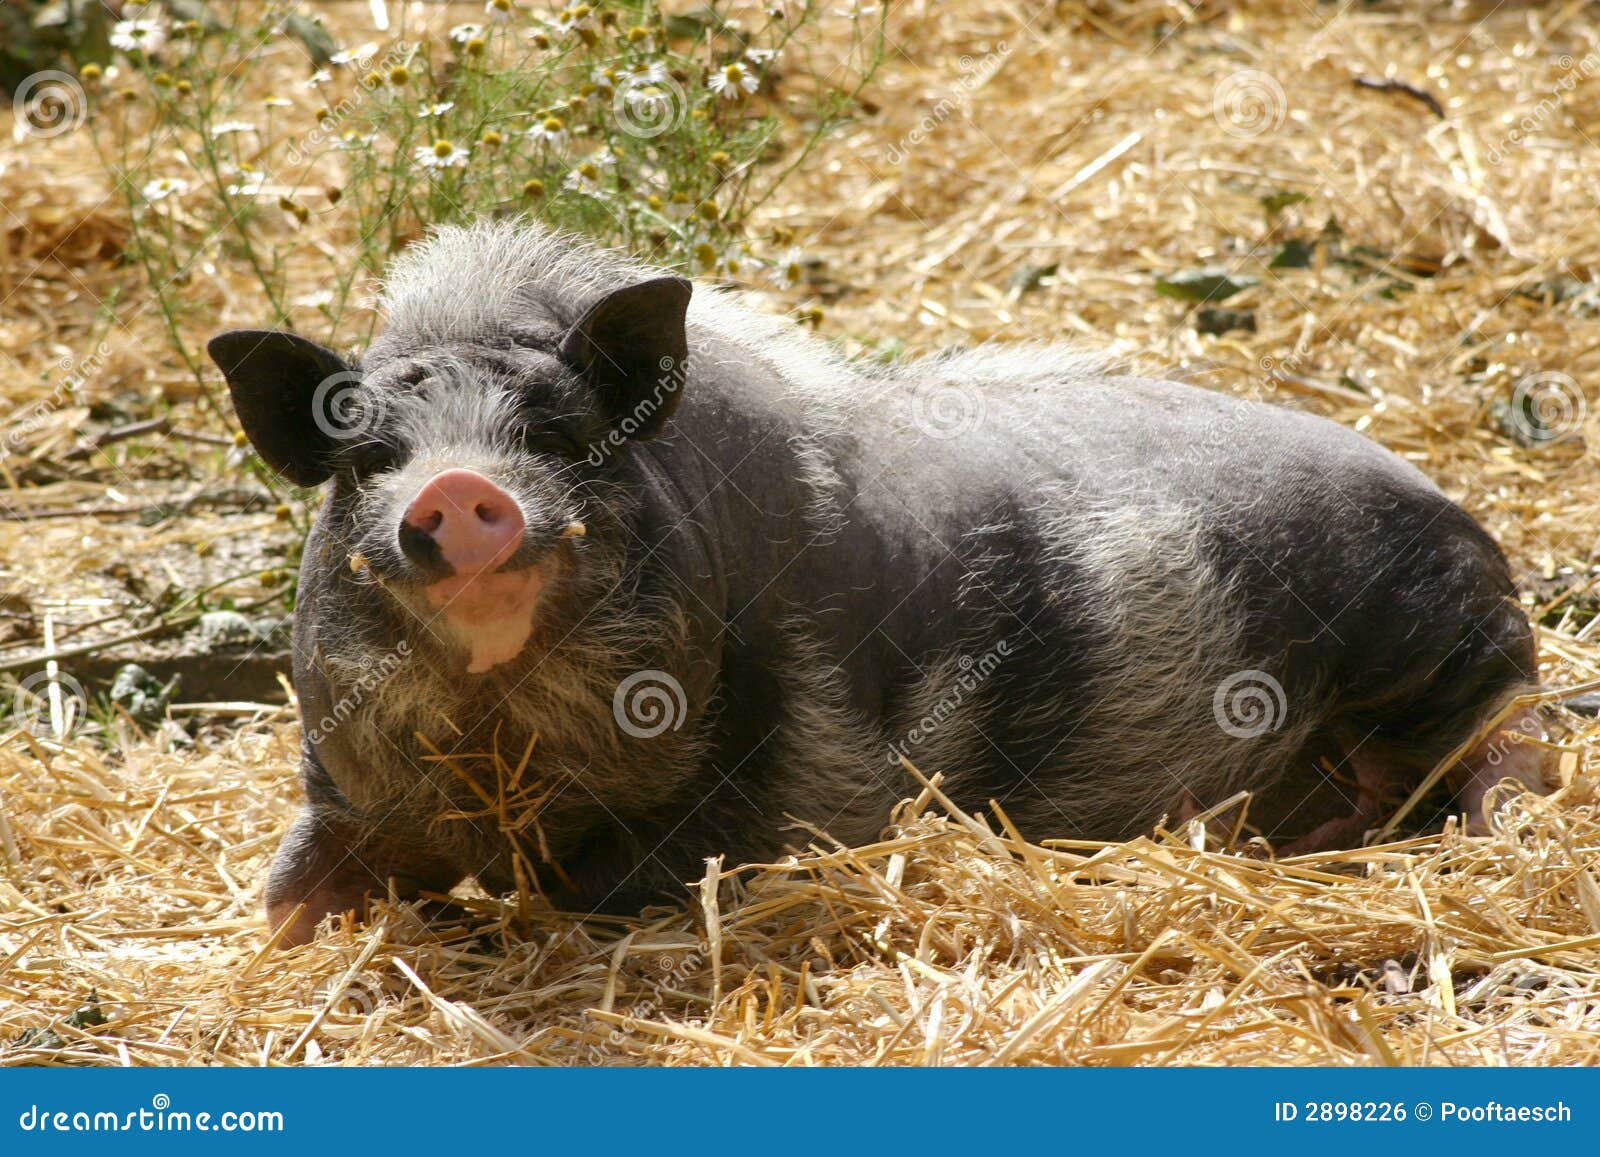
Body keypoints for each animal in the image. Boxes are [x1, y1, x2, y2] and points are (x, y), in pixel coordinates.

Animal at [208, 220, 1551, 946]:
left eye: (562, 436)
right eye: (368, 459)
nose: (456, 490)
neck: (505, 756)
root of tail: (1468, 526)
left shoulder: (764, 795)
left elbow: (605, 889)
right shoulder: (346, 790)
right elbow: (284, 890)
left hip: (1439, 633)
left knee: (1509, 740)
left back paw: (1470, 829)